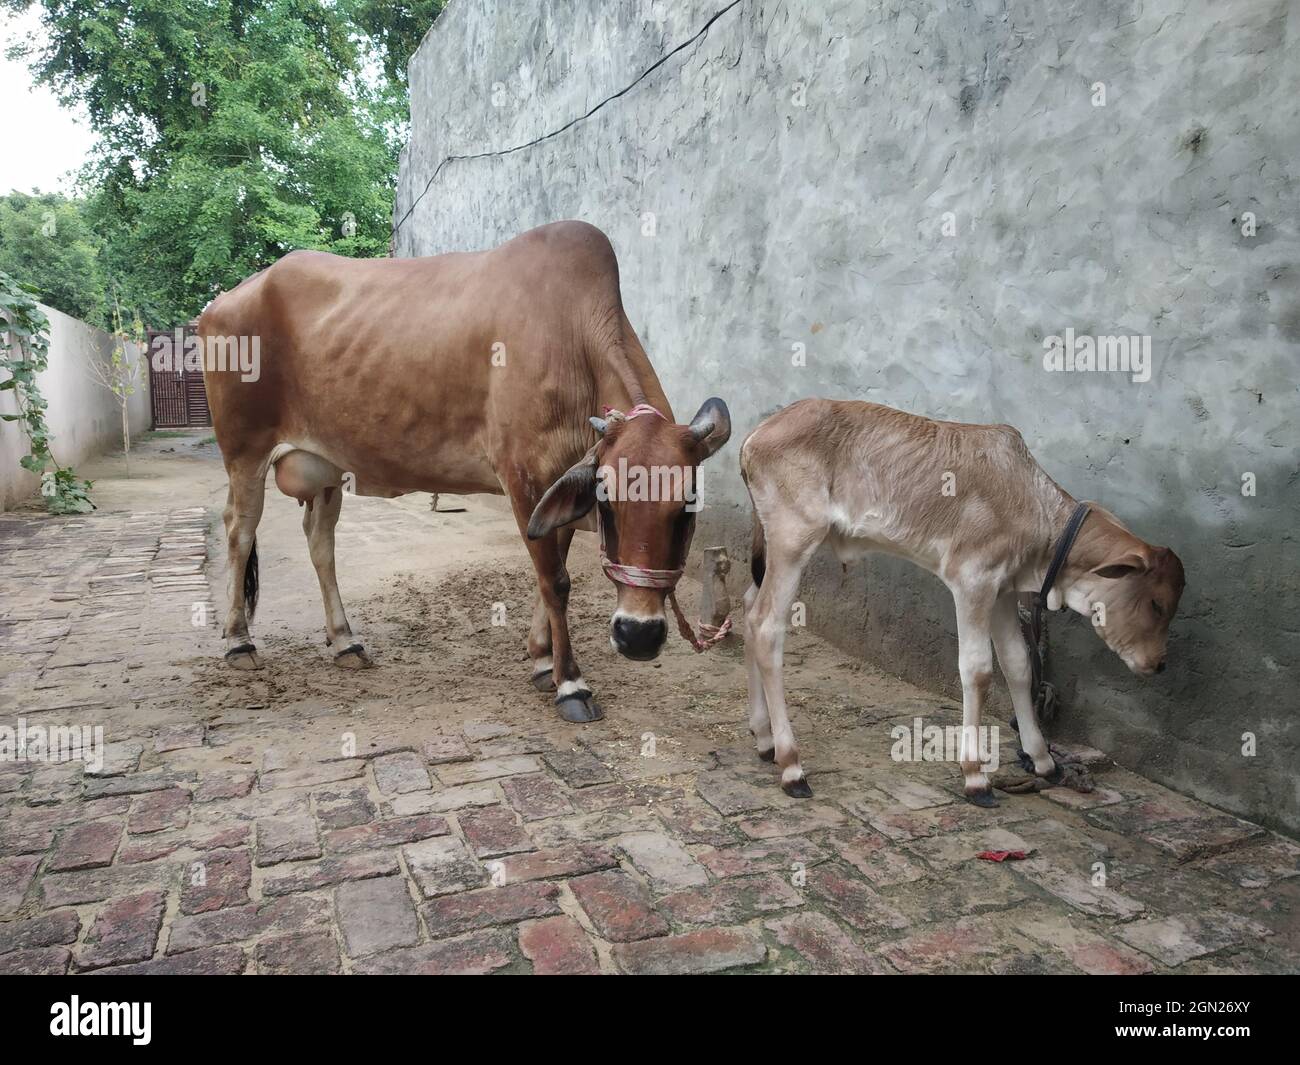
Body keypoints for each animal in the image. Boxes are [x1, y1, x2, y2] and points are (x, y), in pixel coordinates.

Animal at [198, 220, 732, 723]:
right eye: (608, 504)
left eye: (687, 509)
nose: (638, 635)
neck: (573, 339)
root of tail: (224, 299)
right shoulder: (523, 476)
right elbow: (555, 581)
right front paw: (570, 683)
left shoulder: (555, 483)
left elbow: (551, 573)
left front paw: (542, 661)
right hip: (245, 450)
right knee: (240, 530)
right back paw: (239, 641)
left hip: (328, 466)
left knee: (319, 540)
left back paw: (345, 640)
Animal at [739, 399, 1186, 802]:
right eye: (1156, 604)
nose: (1159, 664)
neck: (1034, 506)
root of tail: (758, 432)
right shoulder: (973, 580)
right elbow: (978, 670)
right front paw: (975, 776)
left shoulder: (1004, 591)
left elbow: (1019, 666)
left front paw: (1042, 759)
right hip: (794, 540)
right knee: (765, 625)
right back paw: (791, 765)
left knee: (747, 608)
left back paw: (764, 739)